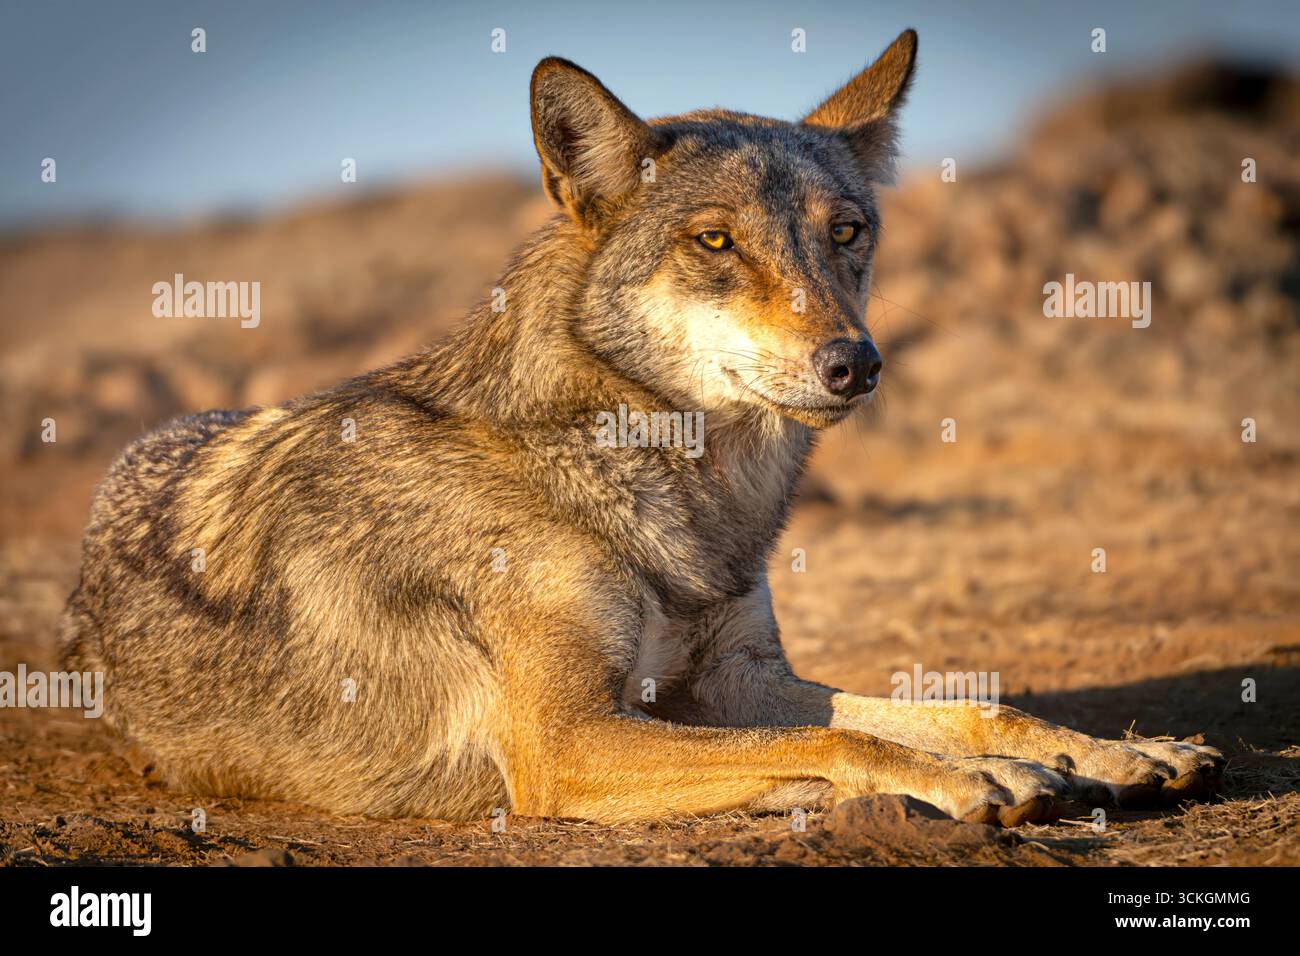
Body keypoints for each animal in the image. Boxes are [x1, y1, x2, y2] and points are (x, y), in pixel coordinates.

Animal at [61, 30, 1222, 825]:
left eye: (846, 233)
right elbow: (866, 745)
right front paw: (978, 779)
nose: (855, 363)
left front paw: (1119, 750)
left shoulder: (741, 675)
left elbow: (955, 709)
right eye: (714, 241)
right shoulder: (568, 739)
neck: (675, 490)